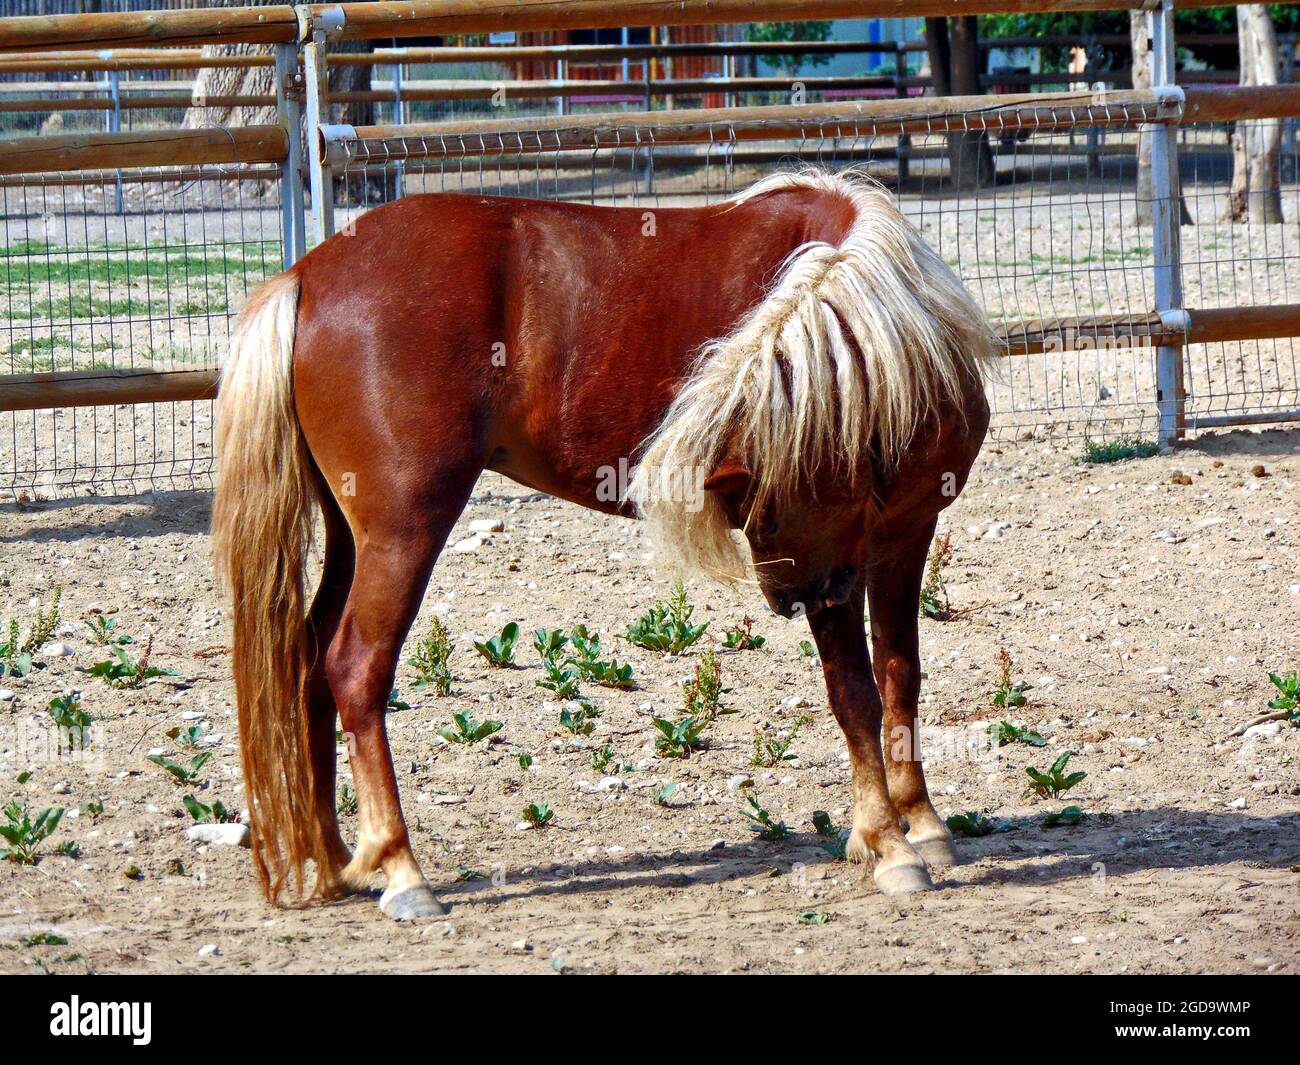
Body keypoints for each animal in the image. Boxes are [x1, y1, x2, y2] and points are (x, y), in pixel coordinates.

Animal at [212, 169, 996, 921]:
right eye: (765, 515)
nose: (792, 596)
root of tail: (307, 276)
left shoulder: (899, 535)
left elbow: (897, 675)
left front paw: (917, 822)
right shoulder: (854, 551)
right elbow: (856, 692)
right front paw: (890, 843)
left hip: (354, 535)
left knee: (310, 657)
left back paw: (338, 859)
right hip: (403, 531)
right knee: (355, 667)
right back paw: (401, 868)